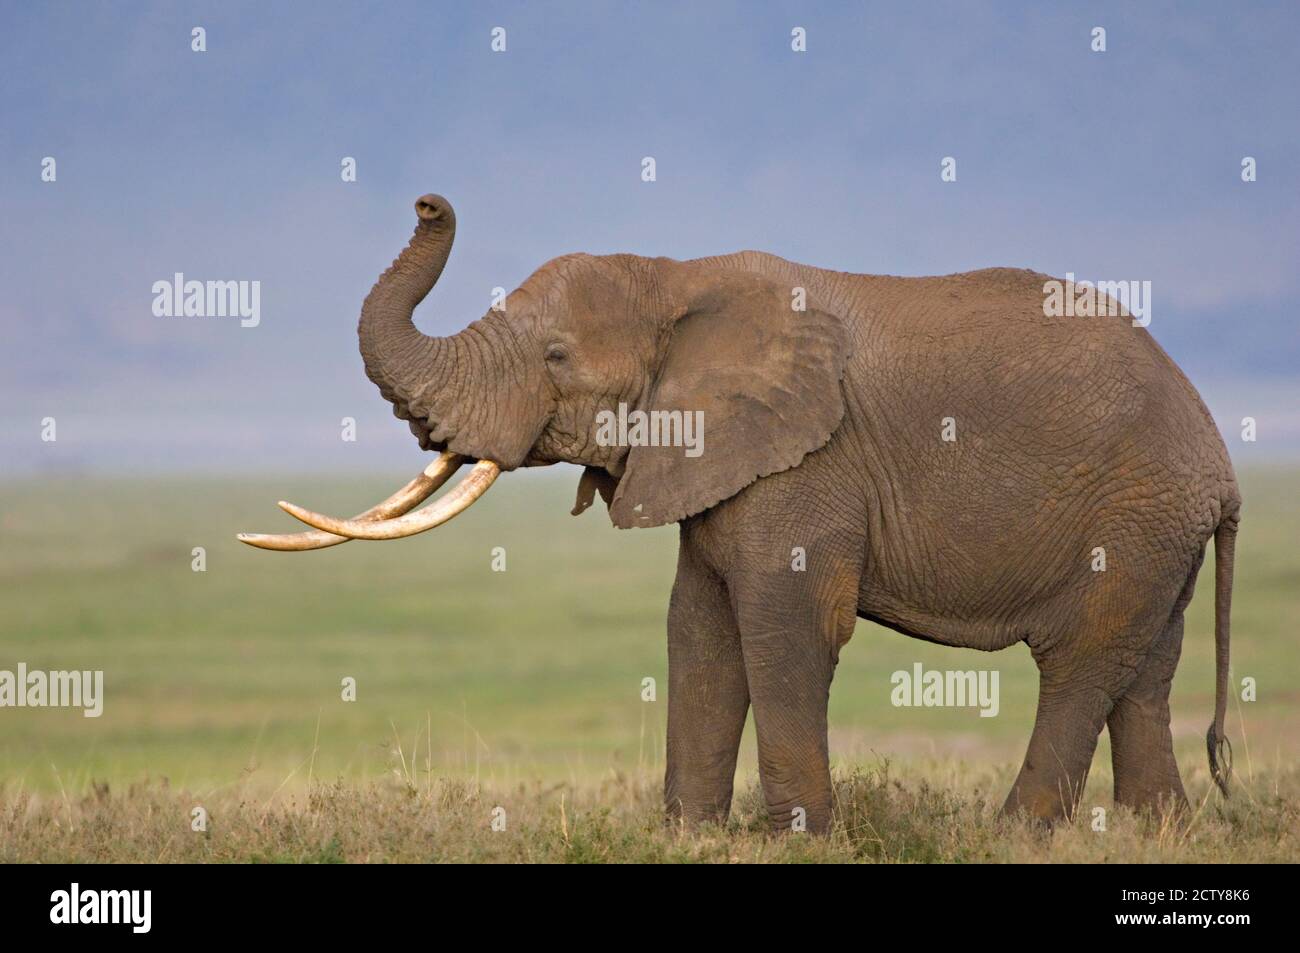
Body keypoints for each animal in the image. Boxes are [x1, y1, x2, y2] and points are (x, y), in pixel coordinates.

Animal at [240, 193, 1240, 833]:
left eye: (556, 356)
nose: (428, 203)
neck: (676, 278)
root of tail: (1222, 461)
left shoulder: (806, 463)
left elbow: (786, 623)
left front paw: (797, 840)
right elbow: (698, 625)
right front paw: (688, 835)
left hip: (1135, 511)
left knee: (1080, 662)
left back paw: (1012, 835)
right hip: (1160, 526)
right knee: (1143, 670)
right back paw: (1161, 832)